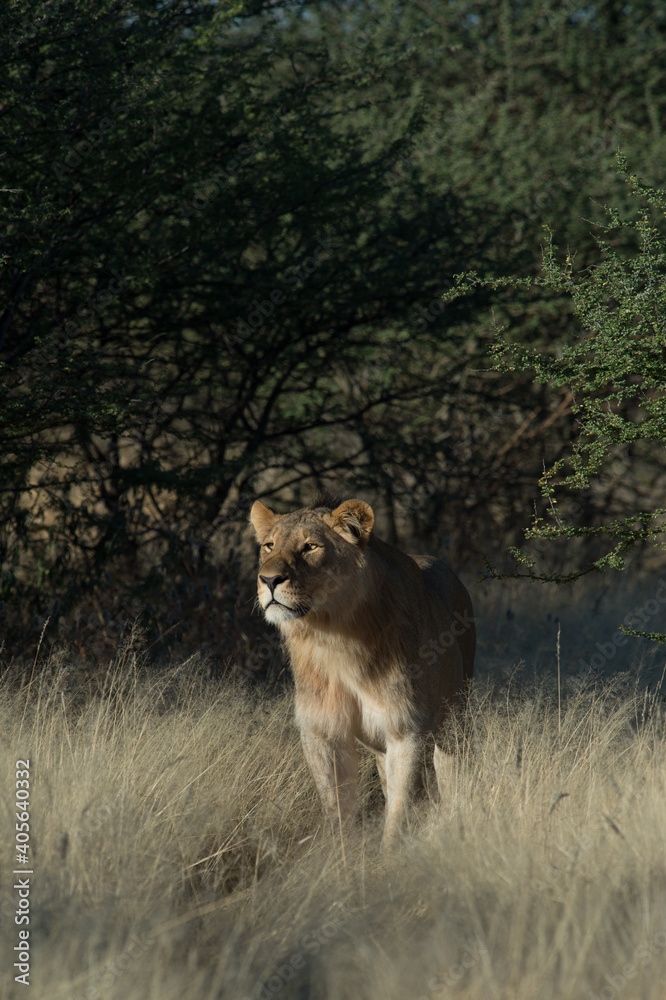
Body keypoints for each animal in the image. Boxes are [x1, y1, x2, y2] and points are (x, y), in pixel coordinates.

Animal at [250, 495, 475, 848]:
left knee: (453, 774)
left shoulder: (407, 730)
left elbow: (400, 811)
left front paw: (389, 859)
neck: (333, 637)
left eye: (310, 547)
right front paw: (340, 857)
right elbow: (337, 809)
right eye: (268, 546)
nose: (269, 580)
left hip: (454, 720)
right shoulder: (322, 732)